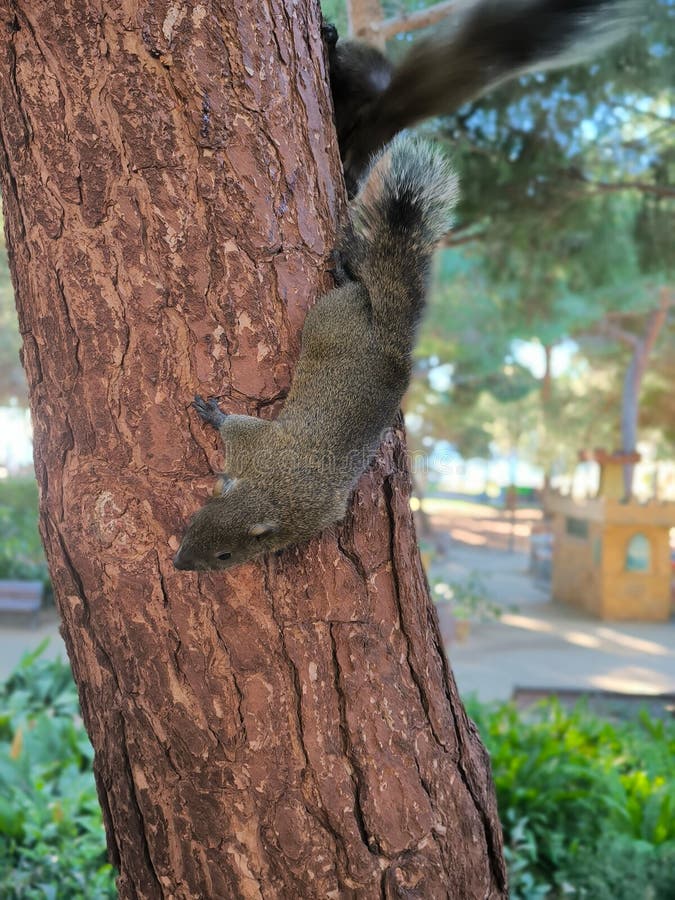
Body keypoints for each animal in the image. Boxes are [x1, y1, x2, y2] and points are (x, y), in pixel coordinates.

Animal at [173, 136, 457, 572]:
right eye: (195, 519)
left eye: (224, 555)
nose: (179, 564)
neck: (276, 496)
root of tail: (390, 343)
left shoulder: (261, 449)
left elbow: (236, 426)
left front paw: (213, 415)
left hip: (329, 316)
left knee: (354, 290)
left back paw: (343, 274)